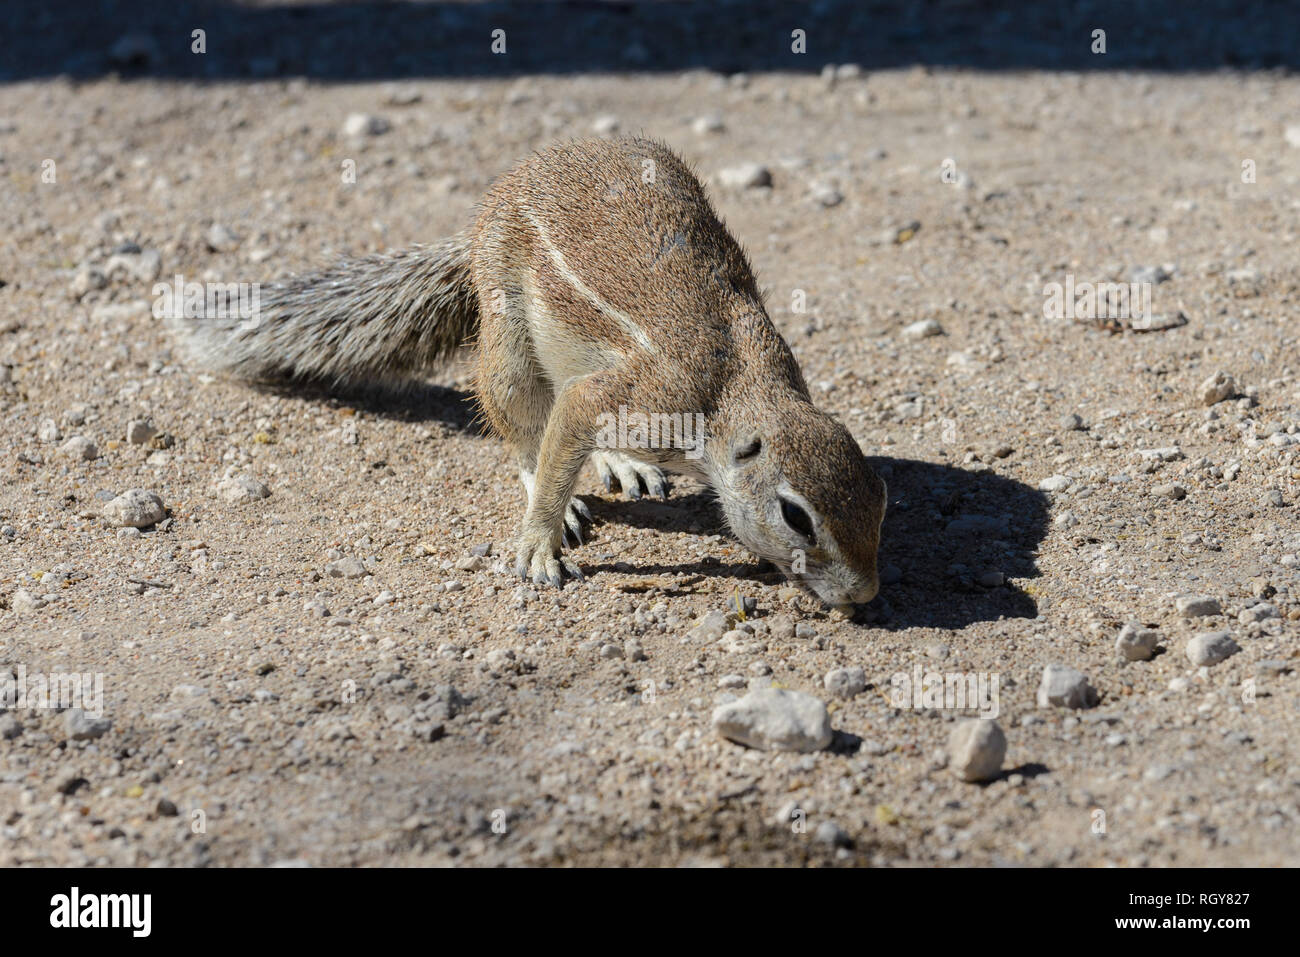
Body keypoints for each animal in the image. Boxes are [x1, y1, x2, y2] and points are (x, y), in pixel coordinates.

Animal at [173, 137, 887, 607]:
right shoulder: (640, 397)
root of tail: (499, 197)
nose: (865, 594)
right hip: (509, 342)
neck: (739, 389)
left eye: (881, 502)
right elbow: (565, 425)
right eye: (797, 517)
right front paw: (540, 543)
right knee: (520, 425)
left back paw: (621, 465)